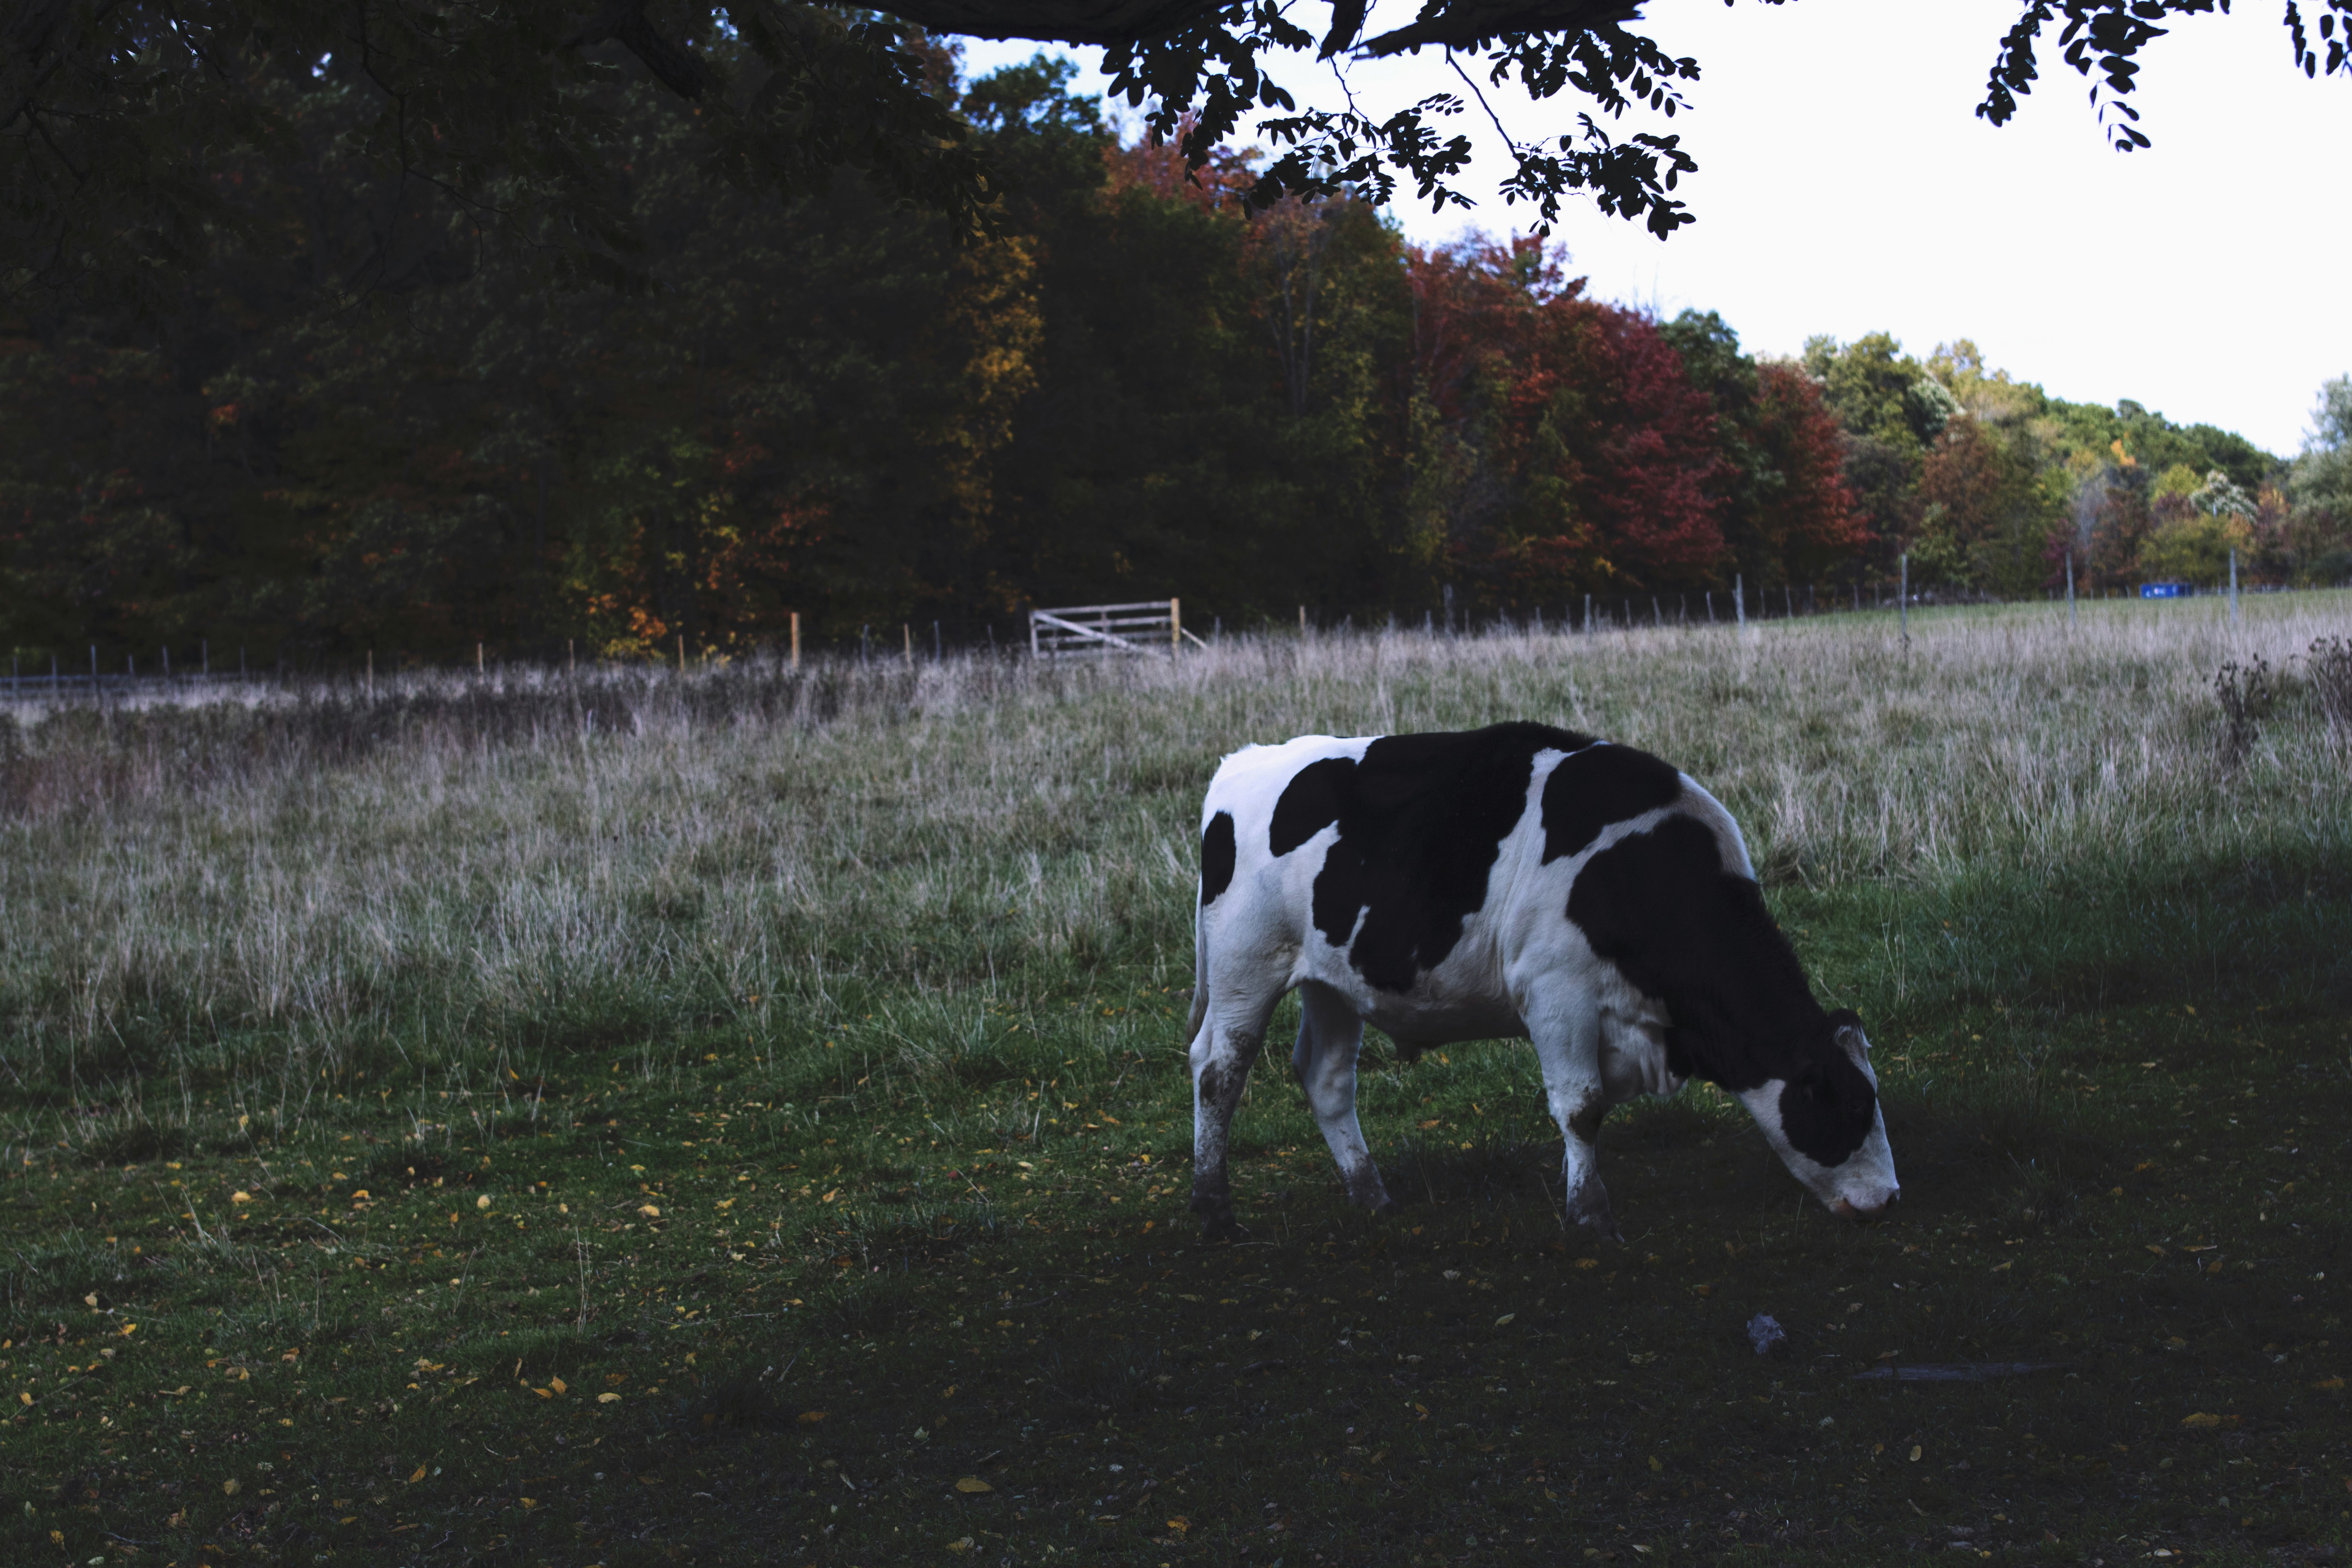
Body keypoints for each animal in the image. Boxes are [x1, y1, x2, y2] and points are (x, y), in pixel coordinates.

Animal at [1183, 722, 1898, 1241]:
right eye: (1852, 1105)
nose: (1889, 1200)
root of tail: (1244, 762)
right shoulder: (1557, 992)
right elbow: (1582, 1107)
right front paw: (1591, 1215)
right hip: (1245, 967)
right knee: (1218, 1071)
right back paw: (1214, 1210)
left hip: (1332, 982)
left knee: (1326, 1078)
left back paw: (1372, 1196)